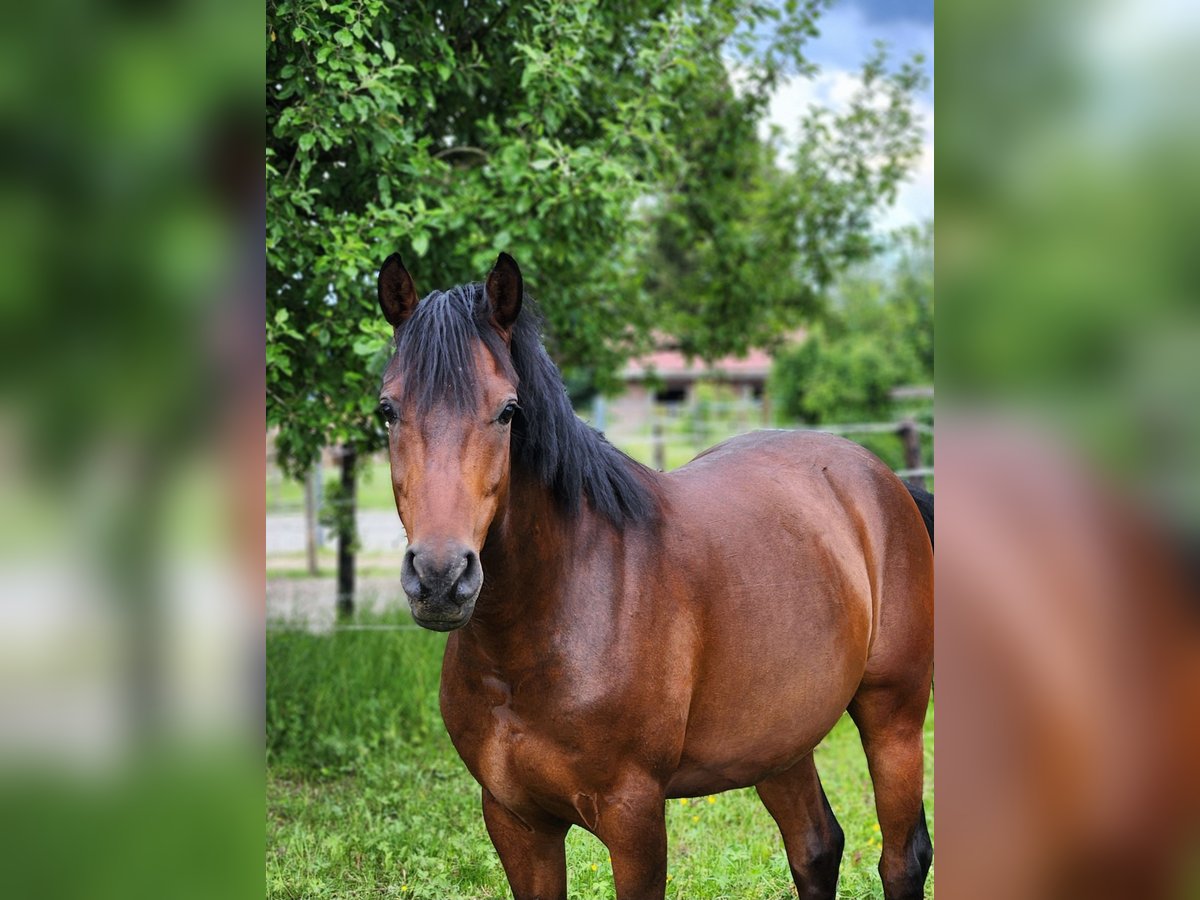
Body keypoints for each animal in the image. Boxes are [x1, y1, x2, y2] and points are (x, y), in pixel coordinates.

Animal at [374, 252, 934, 900]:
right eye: (387, 410)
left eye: (509, 411)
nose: (440, 577)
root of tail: (882, 477)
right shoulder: (516, 822)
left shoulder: (633, 818)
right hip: (780, 740)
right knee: (815, 847)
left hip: (893, 715)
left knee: (902, 859)